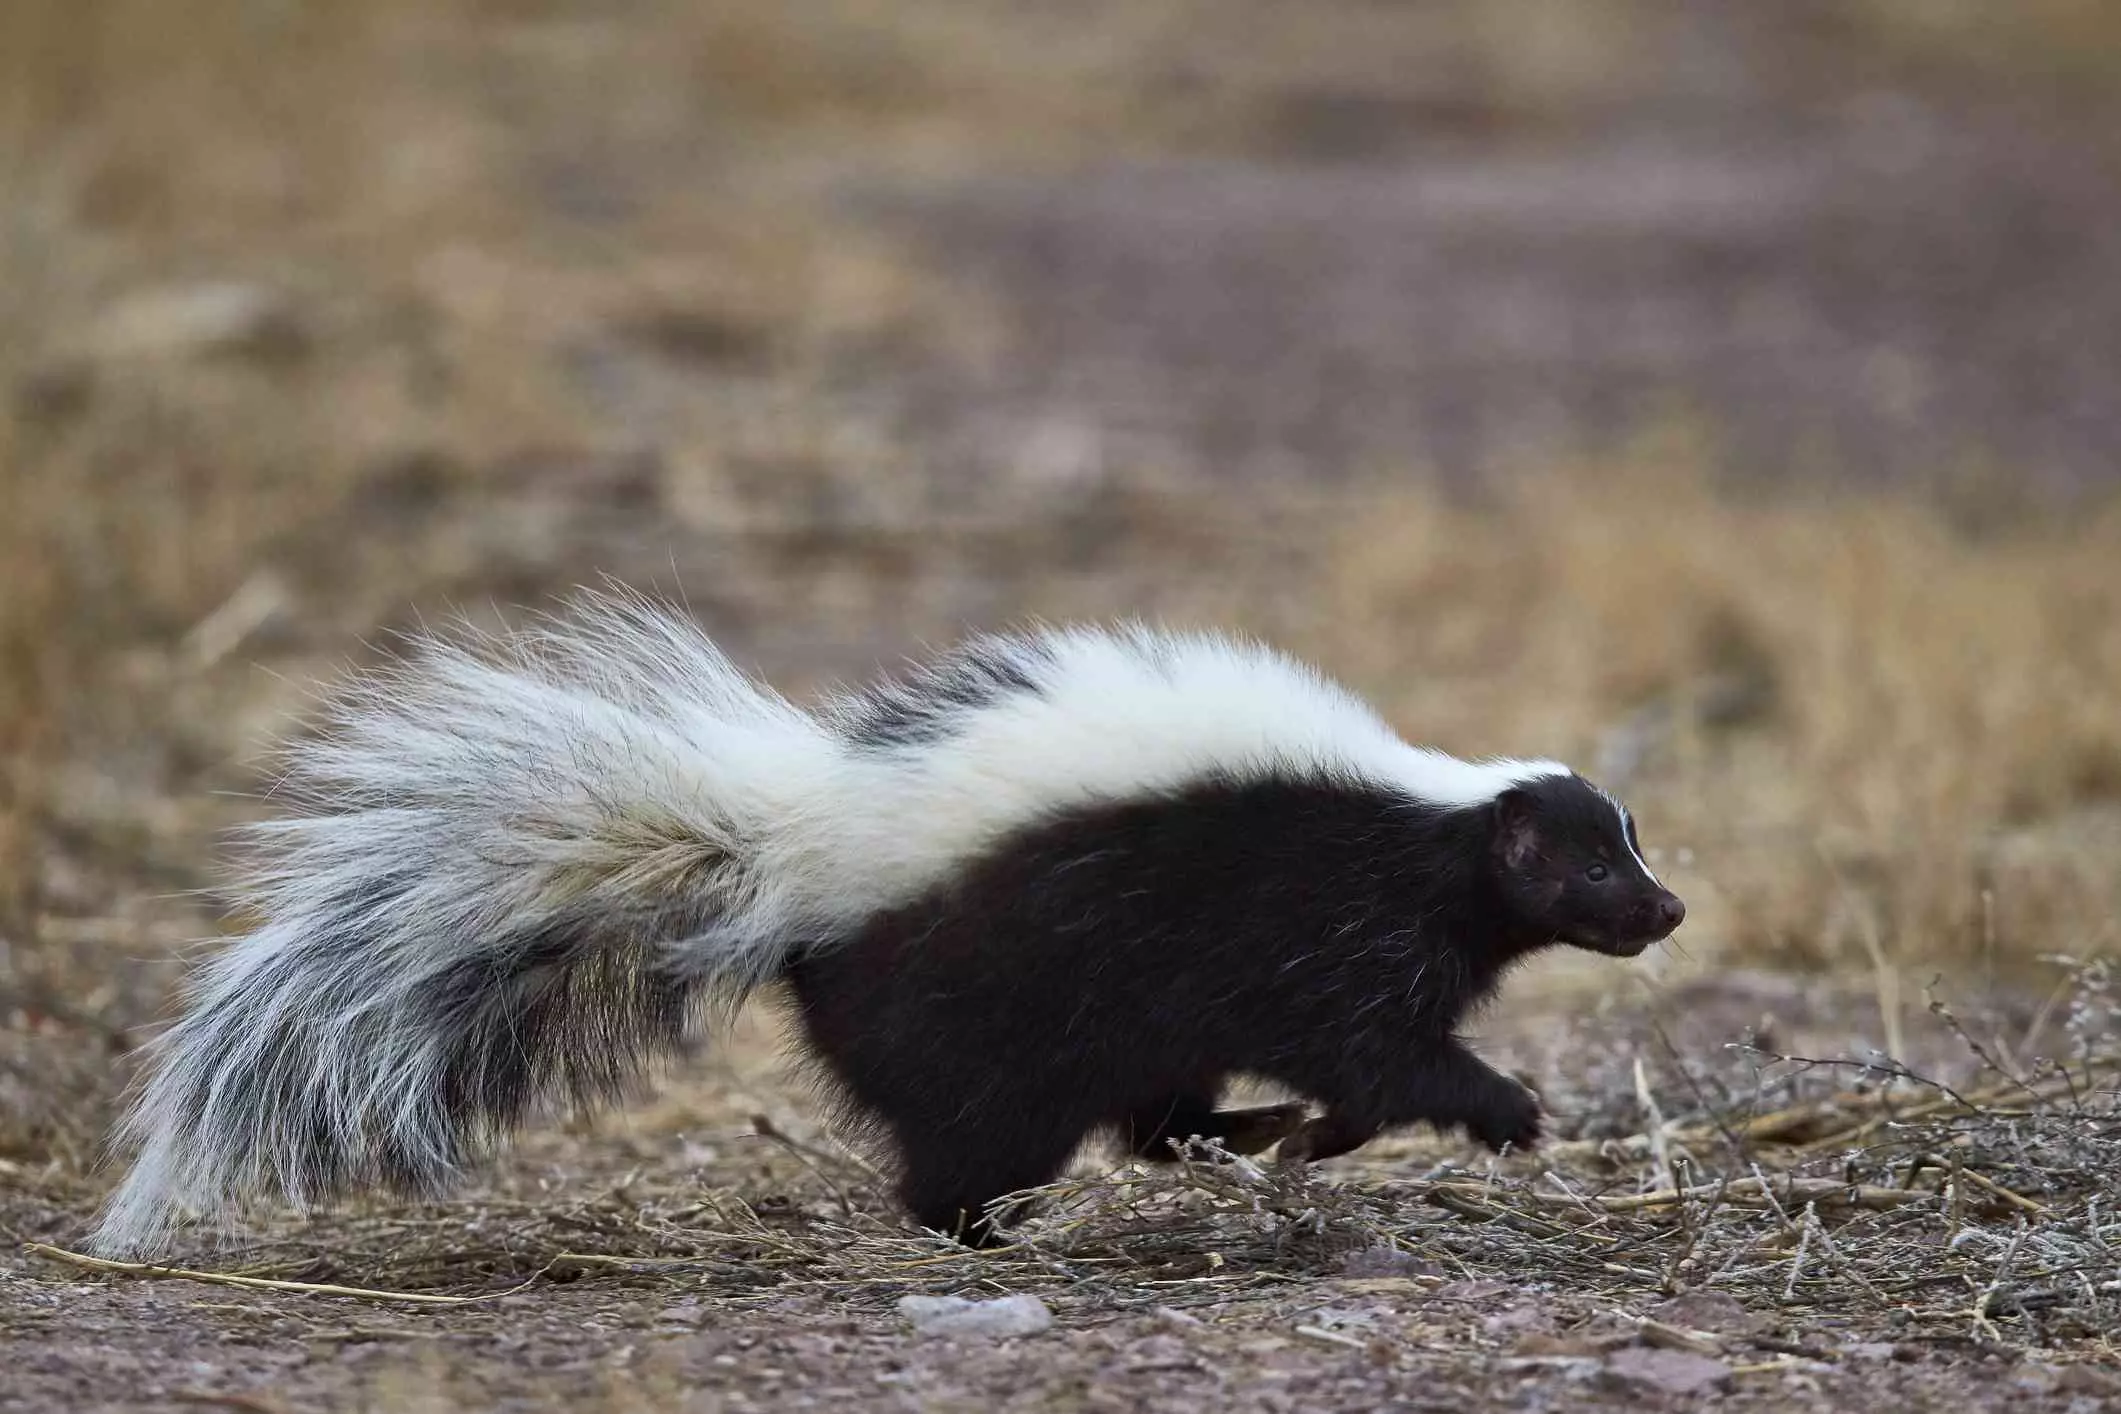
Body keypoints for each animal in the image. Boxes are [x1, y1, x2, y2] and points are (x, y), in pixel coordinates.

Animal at [95, 593, 1688, 1255]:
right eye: (1590, 870)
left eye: (1631, 847)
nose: (1669, 905)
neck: (1433, 820)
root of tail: (798, 844)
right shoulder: (1331, 918)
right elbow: (1374, 1048)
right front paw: (1503, 1108)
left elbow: (1359, 1064)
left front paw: (1315, 1136)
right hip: (990, 994)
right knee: (980, 1137)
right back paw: (990, 1234)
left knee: (1148, 1110)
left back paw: (1224, 1141)